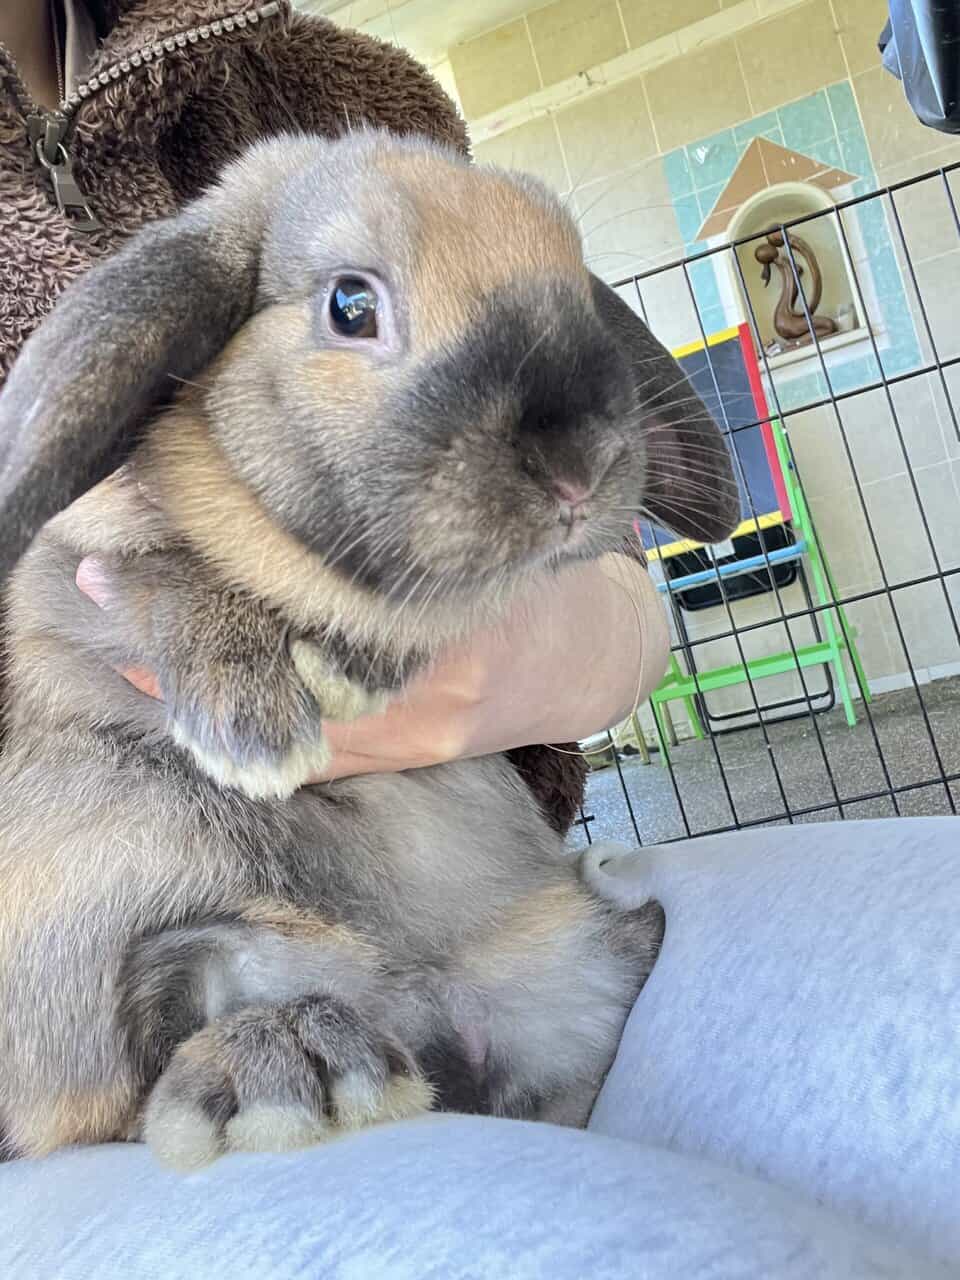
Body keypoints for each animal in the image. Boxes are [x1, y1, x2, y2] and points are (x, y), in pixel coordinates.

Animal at [0, 129, 739, 1170]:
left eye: (570, 274)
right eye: (352, 305)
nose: (581, 468)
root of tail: (440, 1024)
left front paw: (345, 669)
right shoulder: (69, 578)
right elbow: (164, 578)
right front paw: (259, 723)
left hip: (572, 967)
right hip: (152, 949)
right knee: (157, 1057)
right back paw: (289, 1069)